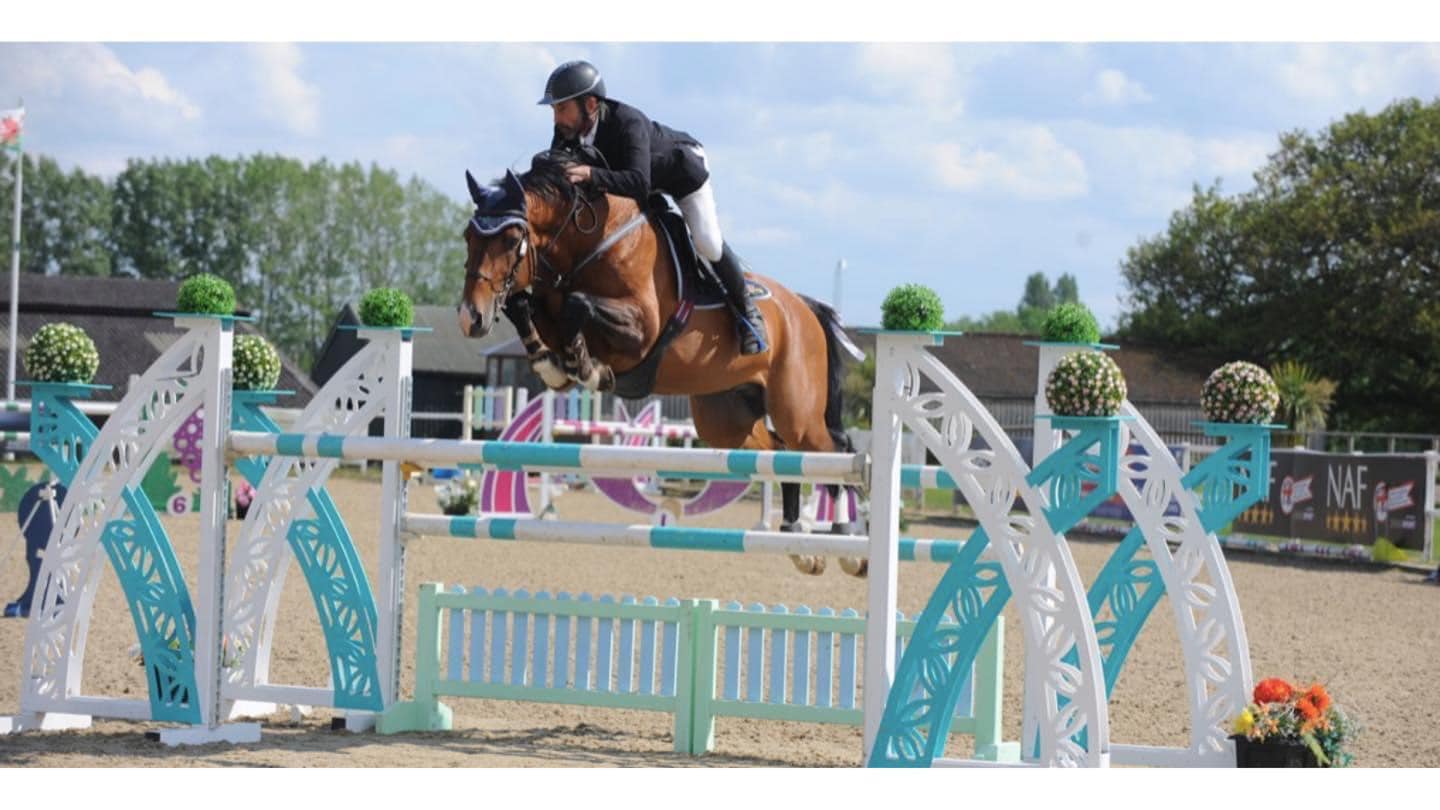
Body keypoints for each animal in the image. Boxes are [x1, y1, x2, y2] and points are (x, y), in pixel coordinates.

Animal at [456, 152, 865, 576]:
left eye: (509, 240)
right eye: (469, 237)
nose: (471, 318)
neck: (589, 245)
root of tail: (804, 307)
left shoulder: (640, 331)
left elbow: (577, 305)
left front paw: (588, 367)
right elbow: (526, 309)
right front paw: (553, 361)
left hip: (796, 410)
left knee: (833, 449)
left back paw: (848, 543)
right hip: (727, 420)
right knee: (783, 453)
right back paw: (800, 544)